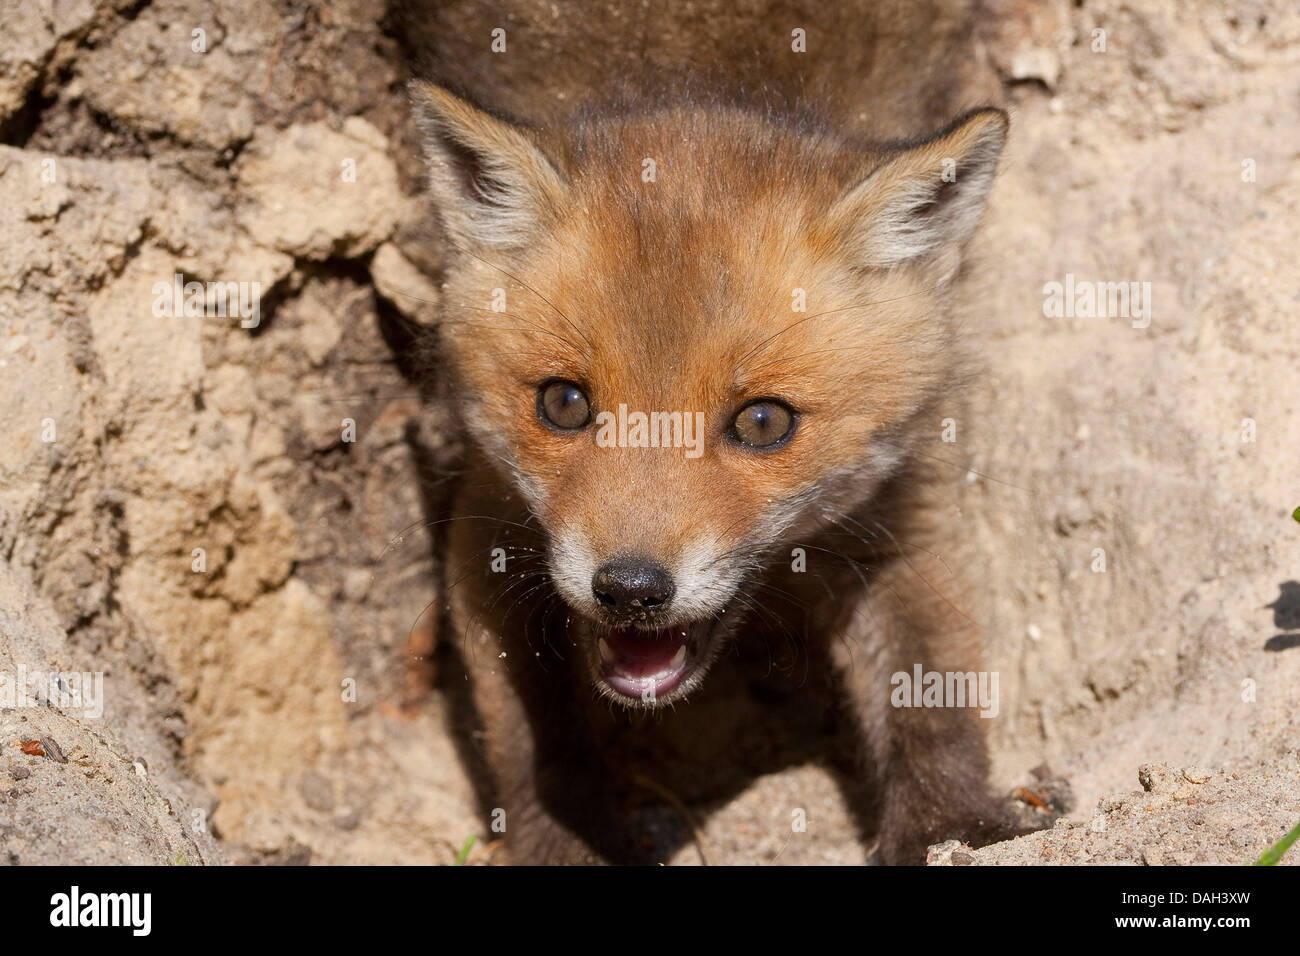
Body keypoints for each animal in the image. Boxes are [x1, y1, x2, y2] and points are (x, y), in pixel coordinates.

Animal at [399, 0, 1020, 864]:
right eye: (563, 404)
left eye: (762, 421)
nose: (629, 590)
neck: (697, 80)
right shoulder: (486, 522)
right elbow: (536, 748)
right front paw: (567, 841)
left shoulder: (895, 515)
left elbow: (927, 692)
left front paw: (952, 826)